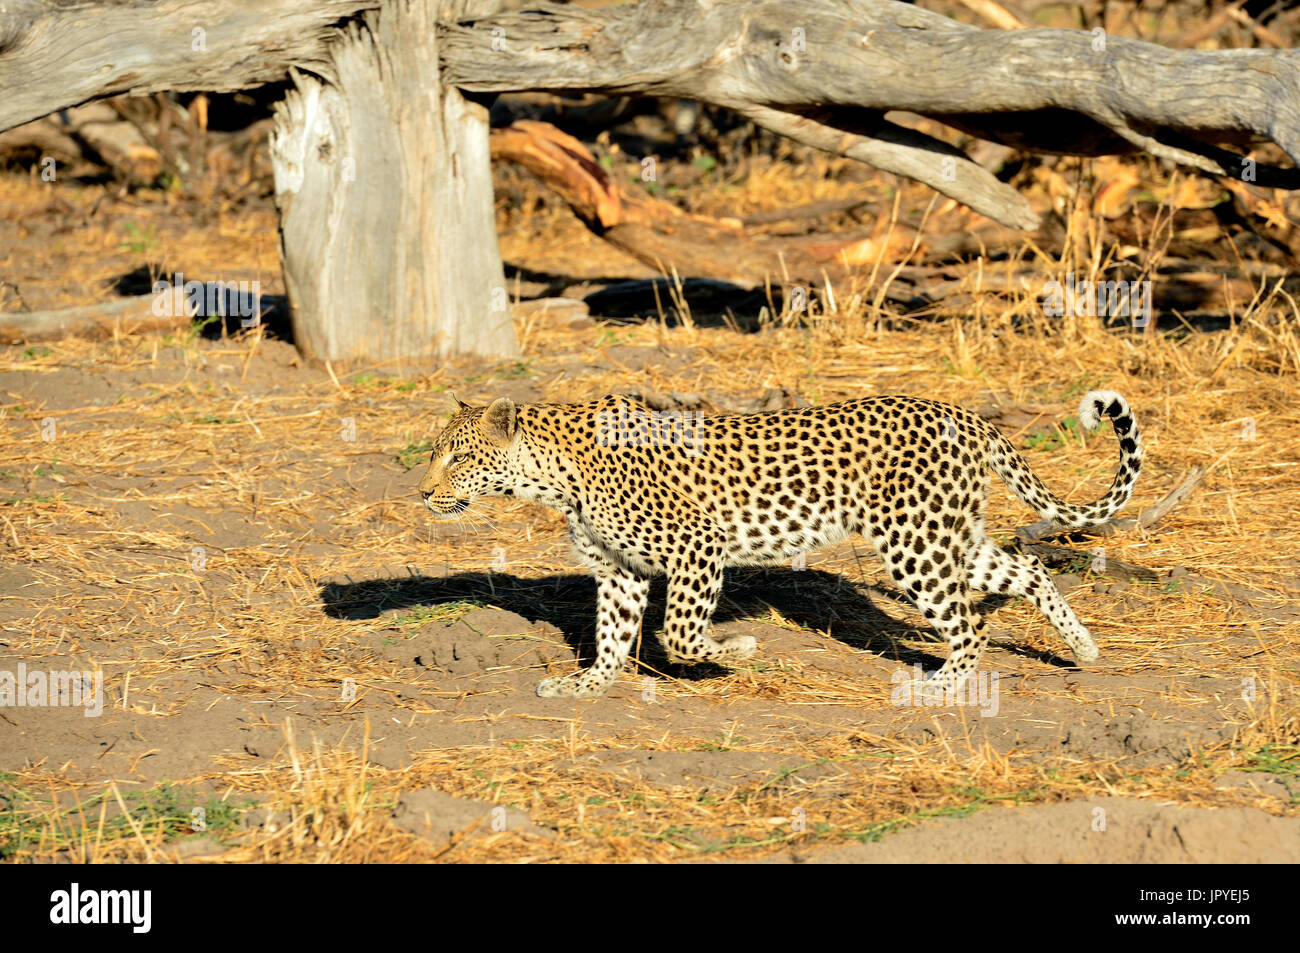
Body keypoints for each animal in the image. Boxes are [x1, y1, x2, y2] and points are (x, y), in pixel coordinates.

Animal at [417, 390, 1142, 698]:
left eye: (458, 457)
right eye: (434, 453)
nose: (423, 493)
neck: (551, 475)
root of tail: (965, 414)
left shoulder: (697, 546)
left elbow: (680, 633)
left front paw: (737, 651)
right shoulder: (621, 568)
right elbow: (613, 633)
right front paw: (590, 683)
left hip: (915, 541)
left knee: (969, 622)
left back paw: (944, 683)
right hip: (949, 535)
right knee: (1027, 567)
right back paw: (1083, 649)